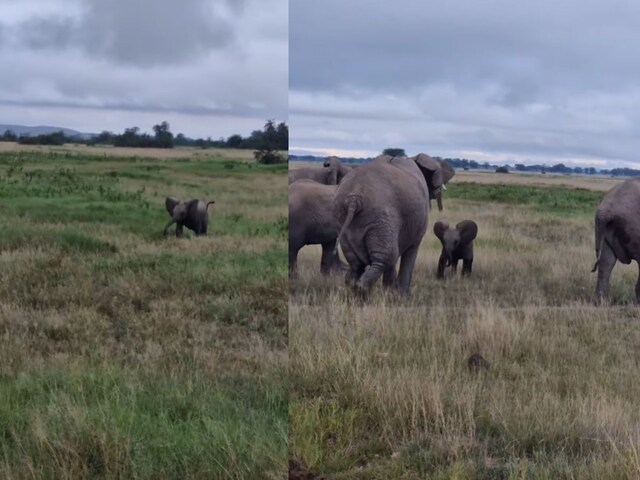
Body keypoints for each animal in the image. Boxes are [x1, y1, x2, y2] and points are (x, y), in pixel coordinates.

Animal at [333, 153, 455, 296]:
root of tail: (354, 198)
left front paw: (390, 293)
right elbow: (411, 251)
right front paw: (400, 296)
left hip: (345, 220)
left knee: (357, 263)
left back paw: (355, 293)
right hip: (381, 218)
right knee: (386, 258)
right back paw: (363, 290)